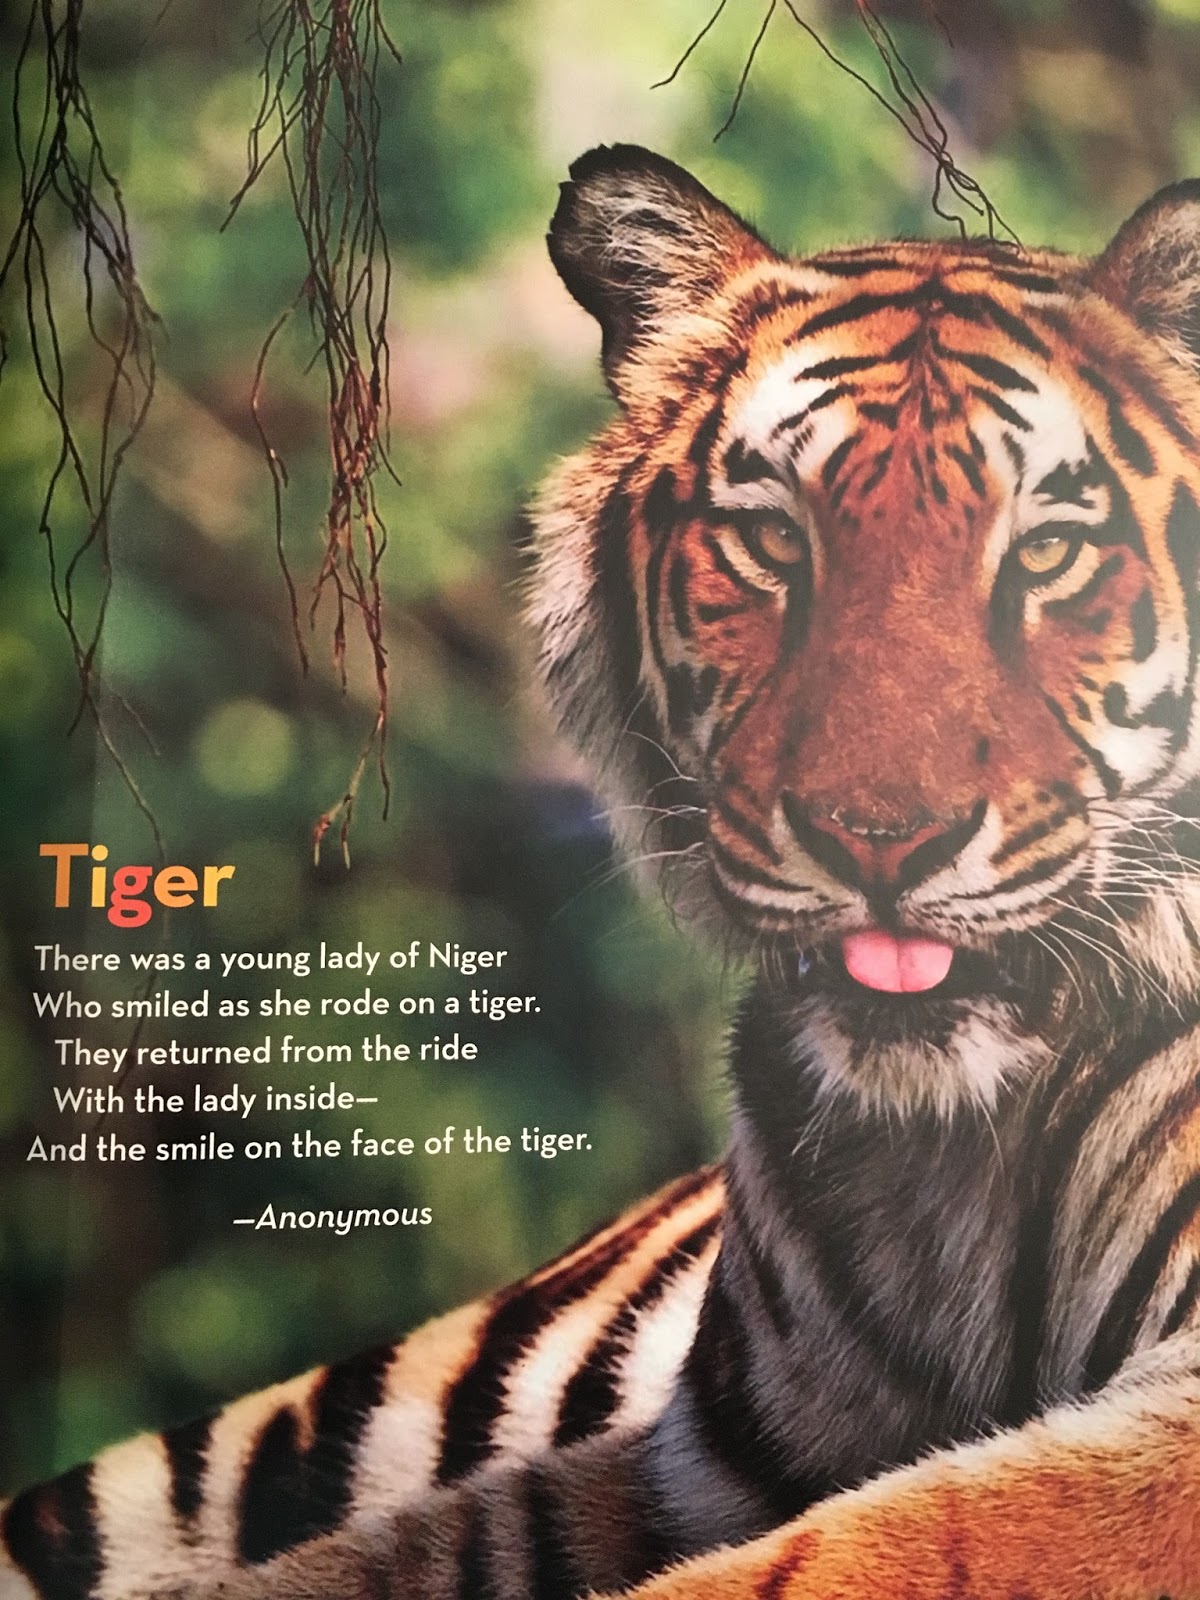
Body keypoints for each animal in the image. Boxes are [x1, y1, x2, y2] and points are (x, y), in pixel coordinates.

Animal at [7, 141, 1200, 1600]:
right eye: (774, 540)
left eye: (1048, 550)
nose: (877, 835)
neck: (951, 1150)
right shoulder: (717, 1453)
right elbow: (421, 1550)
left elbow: (873, 1549)